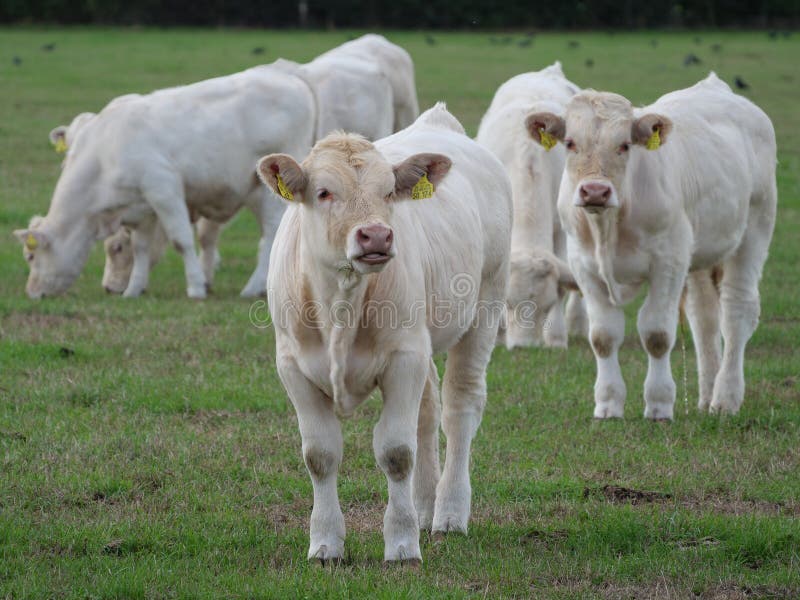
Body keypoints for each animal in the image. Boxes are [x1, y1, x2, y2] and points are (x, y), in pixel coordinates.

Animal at [16, 65, 315, 299]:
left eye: (31, 256)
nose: (31, 292)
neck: (106, 152)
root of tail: (291, 79)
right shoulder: (141, 207)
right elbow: (141, 248)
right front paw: (133, 290)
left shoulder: (163, 189)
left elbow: (181, 240)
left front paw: (195, 287)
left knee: (271, 233)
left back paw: (252, 288)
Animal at [259, 104, 511, 564]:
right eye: (323, 192)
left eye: (390, 191)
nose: (375, 234)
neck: (341, 305)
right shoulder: (293, 367)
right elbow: (320, 454)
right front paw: (325, 543)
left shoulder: (403, 360)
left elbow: (396, 452)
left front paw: (401, 543)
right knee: (428, 411)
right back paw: (426, 506)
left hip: (485, 306)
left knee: (459, 407)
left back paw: (449, 512)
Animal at [525, 73, 776, 418]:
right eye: (570, 143)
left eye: (624, 145)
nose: (595, 191)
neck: (609, 226)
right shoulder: (584, 265)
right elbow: (603, 335)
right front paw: (608, 403)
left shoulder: (668, 262)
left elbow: (657, 334)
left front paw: (659, 405)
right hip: (700, 252)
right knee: (704, 318)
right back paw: (707, 394)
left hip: (754, 230)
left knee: (737, 310)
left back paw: (725, 398)